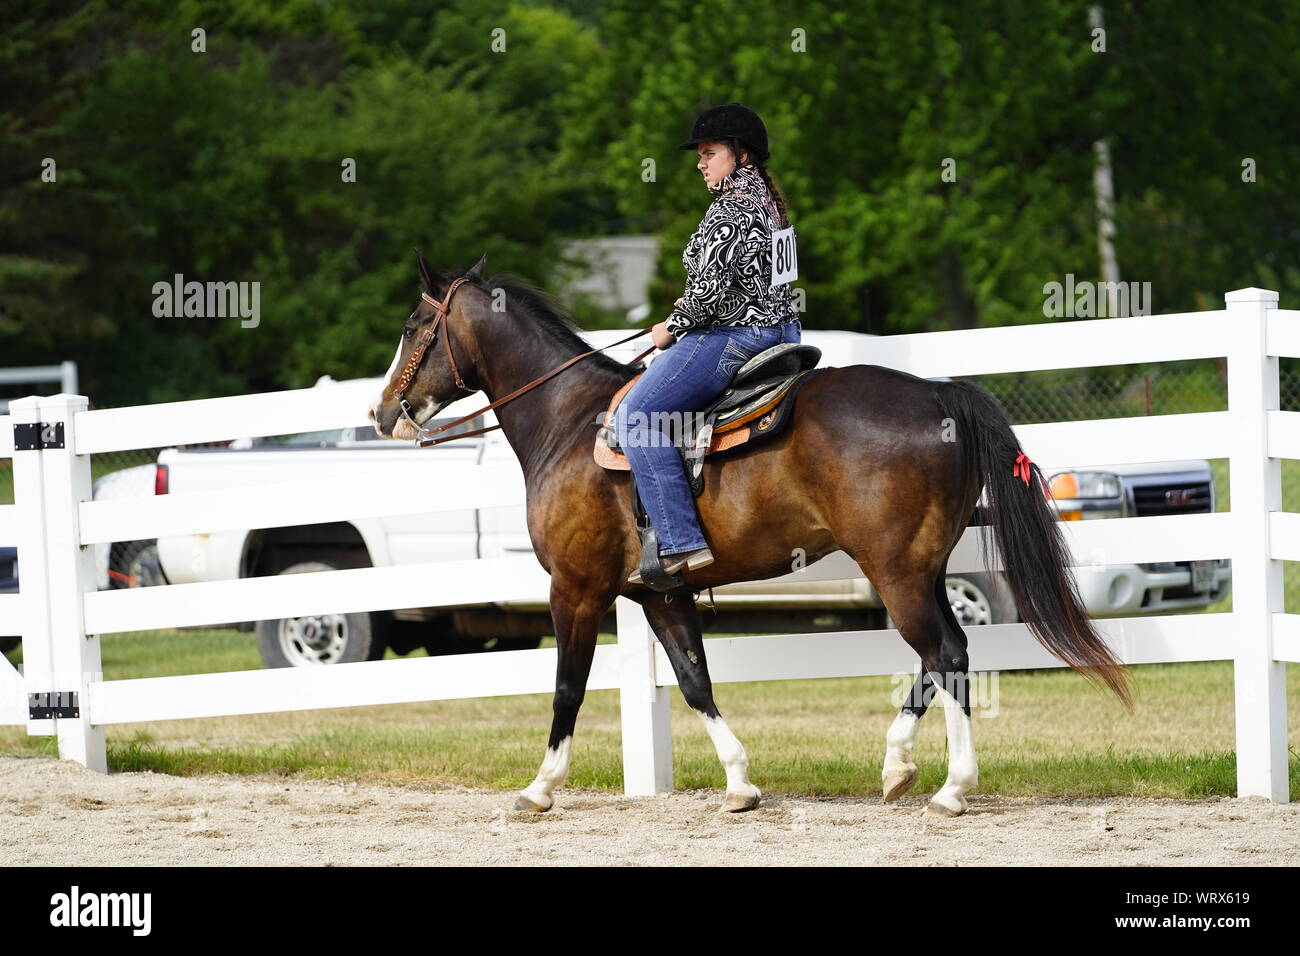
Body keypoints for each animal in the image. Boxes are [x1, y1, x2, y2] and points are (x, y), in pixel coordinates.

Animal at [368, 251, 1133, 817]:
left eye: (412, 324)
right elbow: (694, 680)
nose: (381, 412)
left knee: (944, 653)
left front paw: (539, 787)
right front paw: (739, 783)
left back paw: (951, 788)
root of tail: (941, 393)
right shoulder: (659, 595)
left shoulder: (576, 590)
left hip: (895, 571)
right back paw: (897, 767)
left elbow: (567, 688)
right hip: (921, 569)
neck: (569, 422)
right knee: (942, 656)